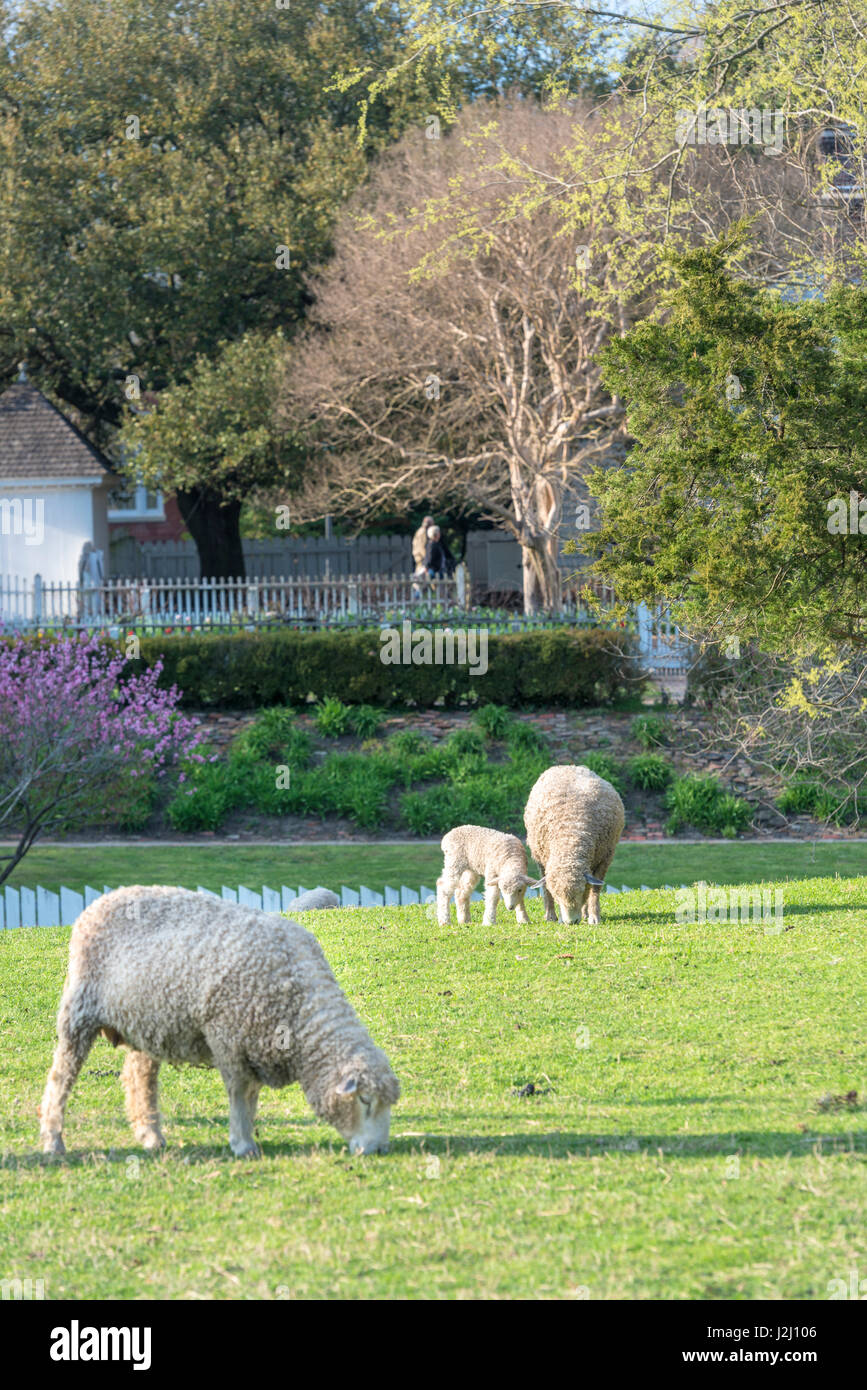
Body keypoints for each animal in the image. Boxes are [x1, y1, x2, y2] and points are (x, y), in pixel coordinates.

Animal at [39, 886, 399, 1159]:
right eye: (365, 1101)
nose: (378, 1150)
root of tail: (103, 899)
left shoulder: (253, 1042)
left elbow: (250, 1094)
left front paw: (246, 1137)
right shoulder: (228, 1037)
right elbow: (240, 1092)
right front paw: (242, 1144)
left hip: (146, 1021)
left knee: (139, 1077)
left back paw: (150, 1135)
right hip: (79, 1011)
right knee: (61, 1077)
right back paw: (53, 1140)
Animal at [523, 766, 625, 926]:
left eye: (581, 890)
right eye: (557, 894)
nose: (571, 921)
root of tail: (568, 766)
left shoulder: (605, 858)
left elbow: (595, 889)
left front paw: (594, 916)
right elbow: (546, 889)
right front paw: (553, 916)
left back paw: (585, 913)